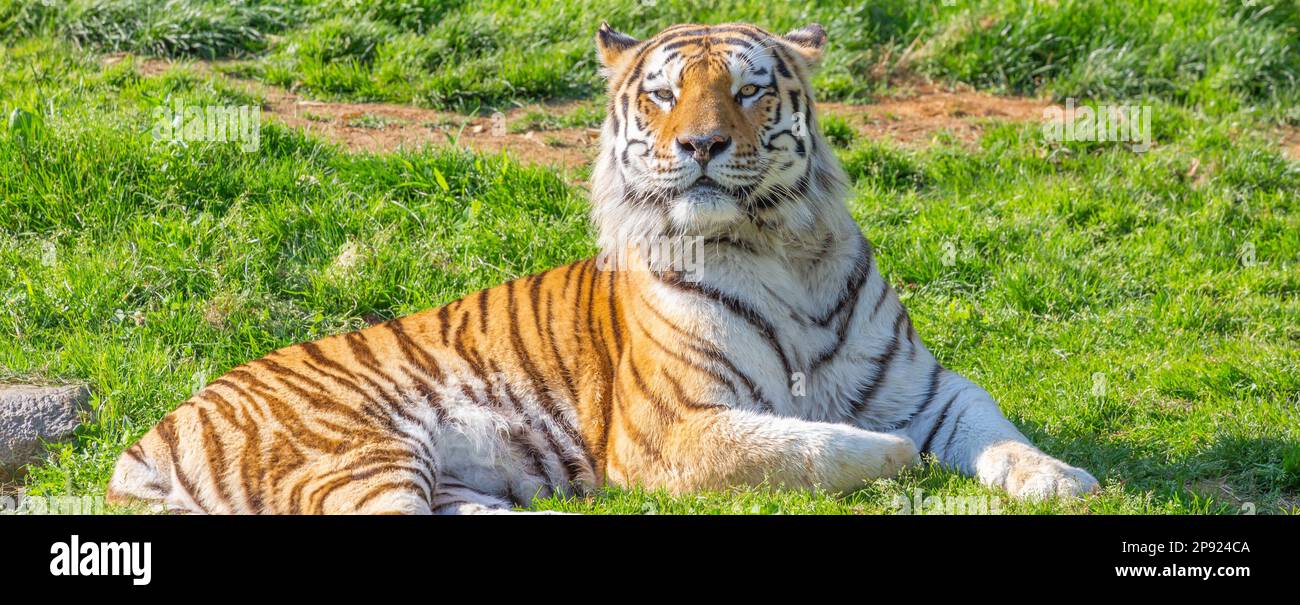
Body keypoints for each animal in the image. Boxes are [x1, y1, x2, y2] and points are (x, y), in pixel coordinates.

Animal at [106, 21, 1100, 514]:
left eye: (748, 90)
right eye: (662, 94)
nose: (701, 145)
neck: (780, 248)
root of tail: (160, 425)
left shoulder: (928, 385)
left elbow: (996, 430)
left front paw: (1065, 480)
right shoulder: (674, 427)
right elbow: (807, 445)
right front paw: (897, 461)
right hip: (359, 459)